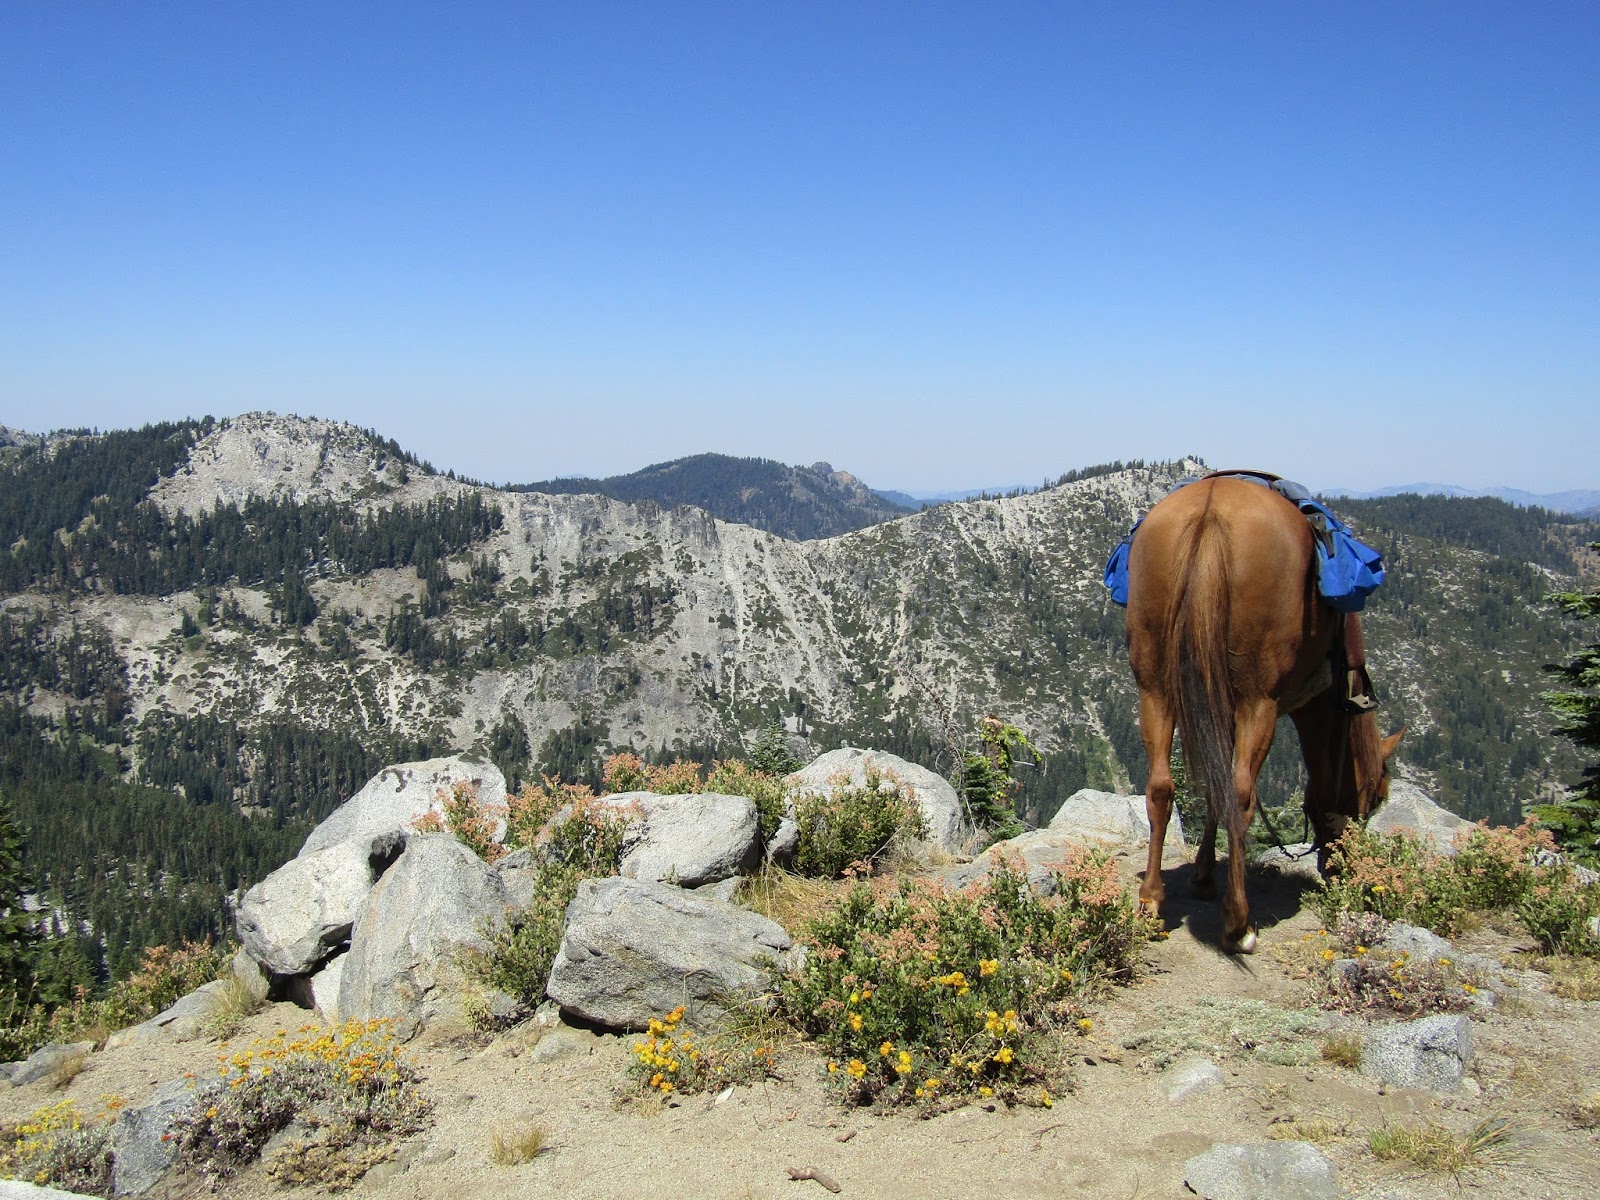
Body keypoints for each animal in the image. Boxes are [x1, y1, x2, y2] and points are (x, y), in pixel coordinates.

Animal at [1124, 474, 1403, 953]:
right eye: (1373, 800)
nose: (1343, 868)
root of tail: (1210, 513)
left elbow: (1211, 786)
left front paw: (1202, 875)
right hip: (1260, 701)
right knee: (1241, 795)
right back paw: (1239, 924)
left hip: (1155, 689)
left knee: (1161, 787)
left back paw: (1150, 902)